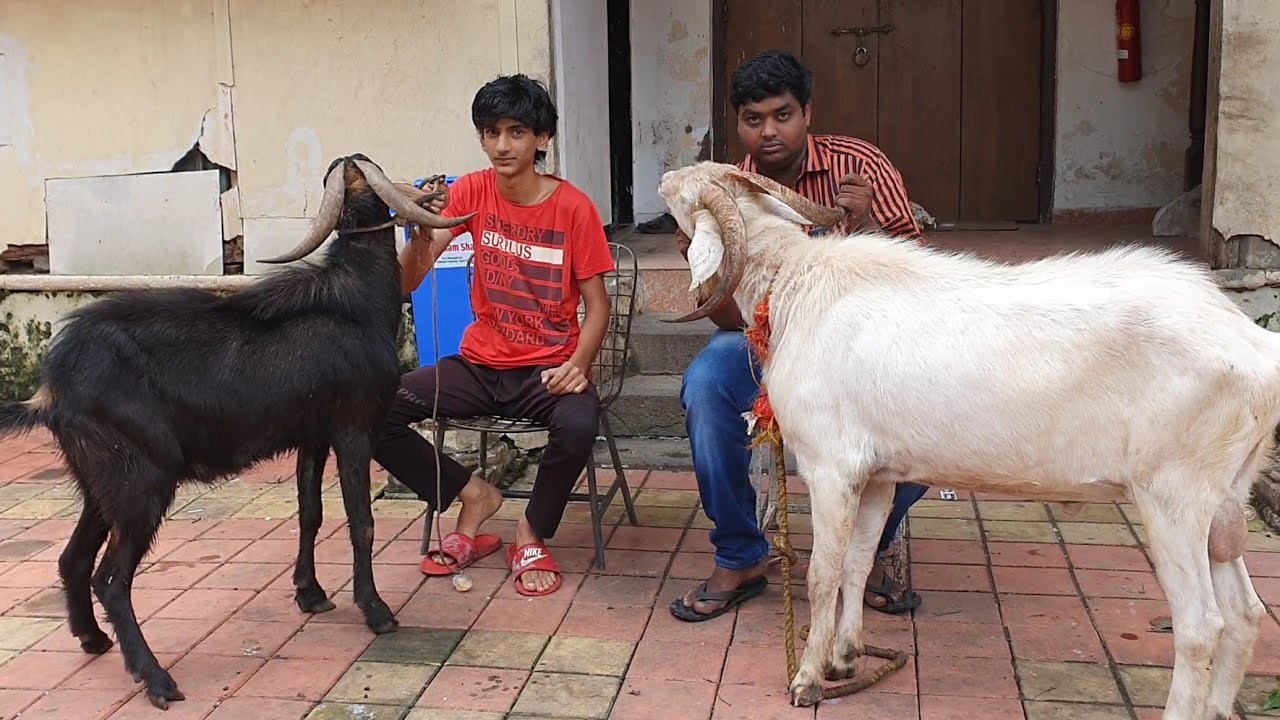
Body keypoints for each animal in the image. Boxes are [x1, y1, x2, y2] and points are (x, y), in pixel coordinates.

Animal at [0, 154, 470, 709]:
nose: (437, 184)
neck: (356, 298)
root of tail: (54, 387)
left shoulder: (312, 435)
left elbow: (310, 514)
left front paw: (310, 594)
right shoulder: (354, 430)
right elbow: (361, 521)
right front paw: (376, 611)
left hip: (101, 482)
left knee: (72, 559)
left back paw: (93, 640)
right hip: (142, 483)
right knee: (111, 580)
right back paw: (156, 679)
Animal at [658, 160, 1276, 719]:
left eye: (690, 191)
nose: (664, 177)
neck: (795, 282)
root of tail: (1255, 346)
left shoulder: (831, 467)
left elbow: (823, 574)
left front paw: (808, 678)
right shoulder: (876, 474)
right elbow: (858, 562)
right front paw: (846, 658)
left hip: (1174, 500)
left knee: (1201, 626)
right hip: (1224, 500)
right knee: (1245, 614)